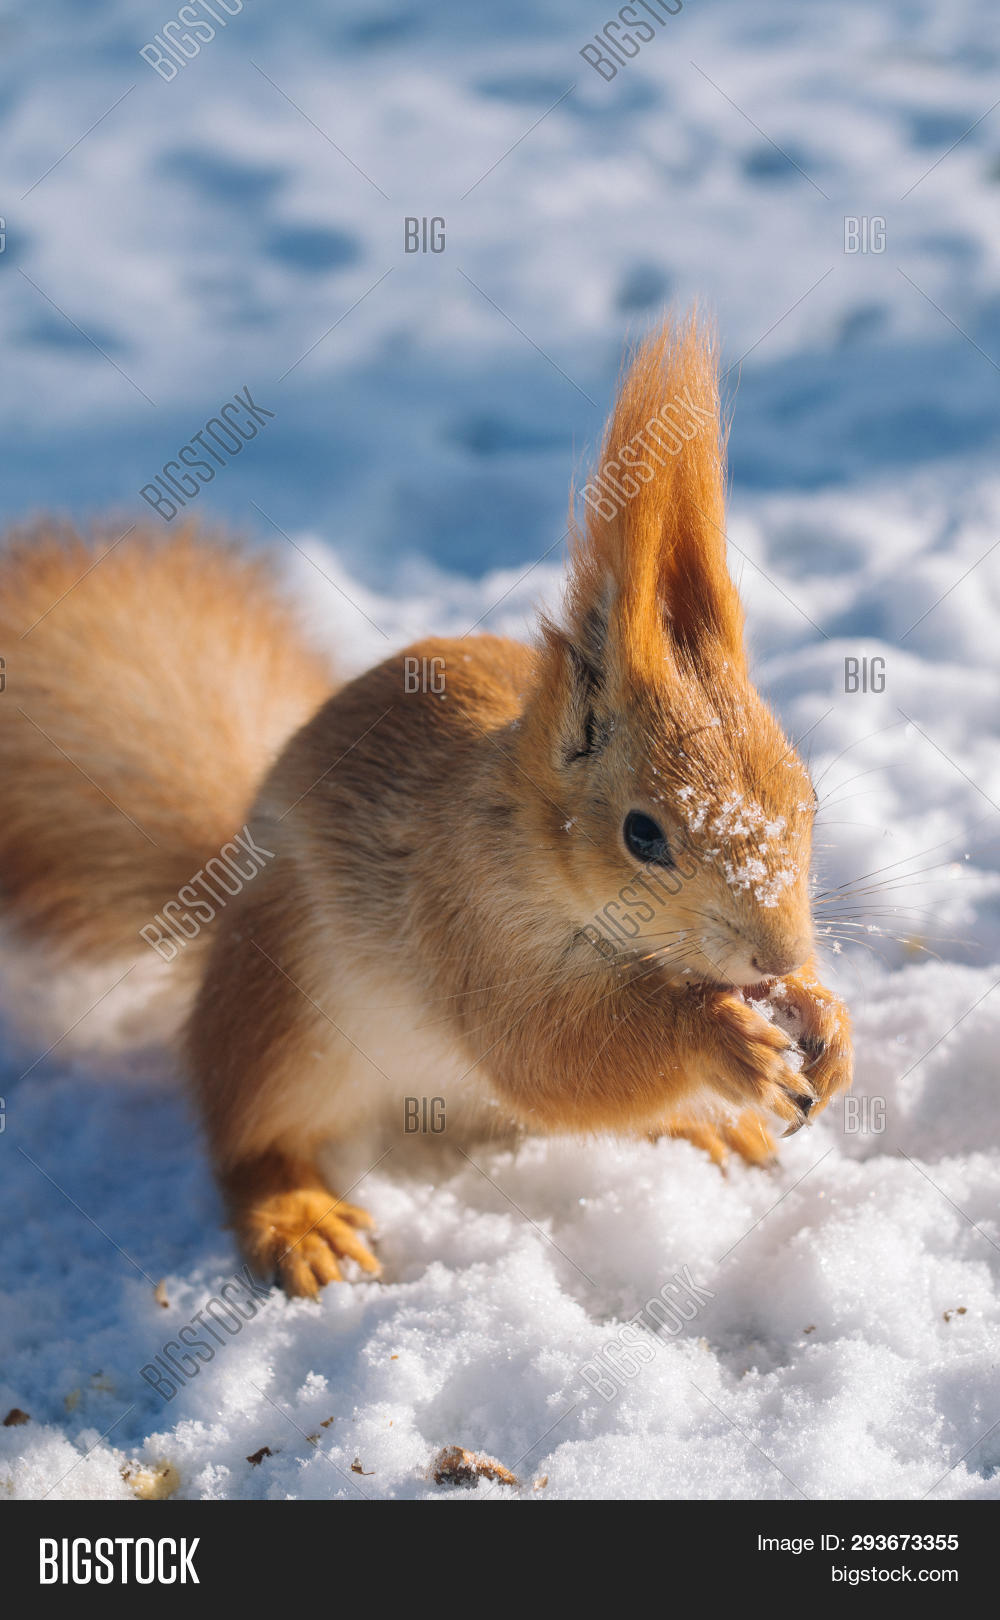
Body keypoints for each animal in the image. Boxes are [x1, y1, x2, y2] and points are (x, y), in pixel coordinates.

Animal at [0, 316, 852, 1296]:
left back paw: (705, 1122)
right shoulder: (467, 917)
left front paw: (823, 1013)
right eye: (643, 834)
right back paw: (297, 1217)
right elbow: (546, 1051)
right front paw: (721, 1039)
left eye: (809, 794)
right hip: (281, 1013)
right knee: (248, 1138)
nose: (778, 950)